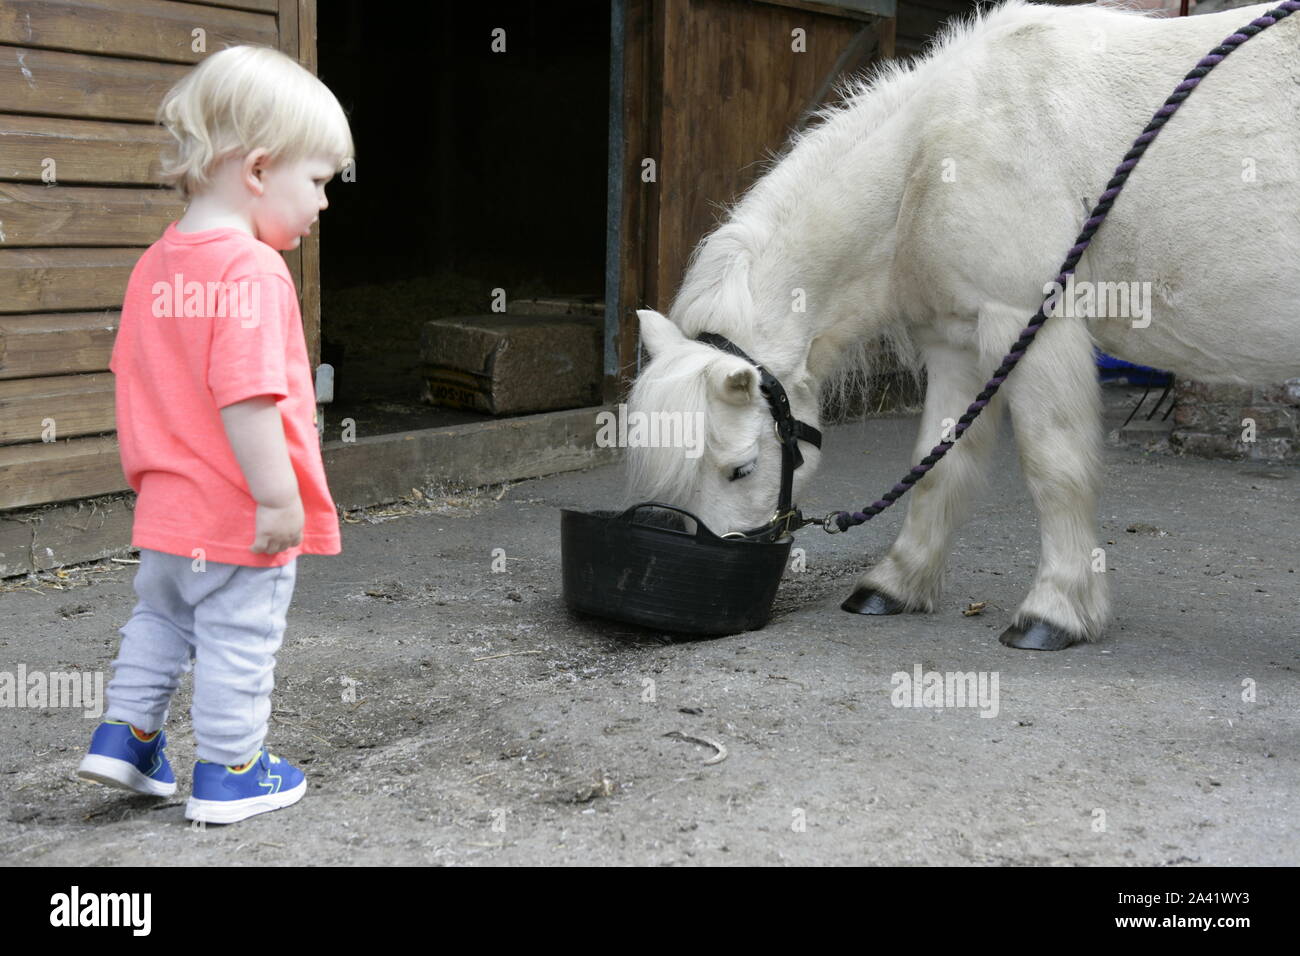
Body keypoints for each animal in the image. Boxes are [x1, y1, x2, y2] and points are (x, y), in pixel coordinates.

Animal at [625, 0, 1300, 650]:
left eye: (741, 468)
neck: (930, 156)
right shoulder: (956, 341)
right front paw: (895, 585)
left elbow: (1055, 467)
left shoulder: (1025, 322)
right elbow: (939, 463)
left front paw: (1055, 611)